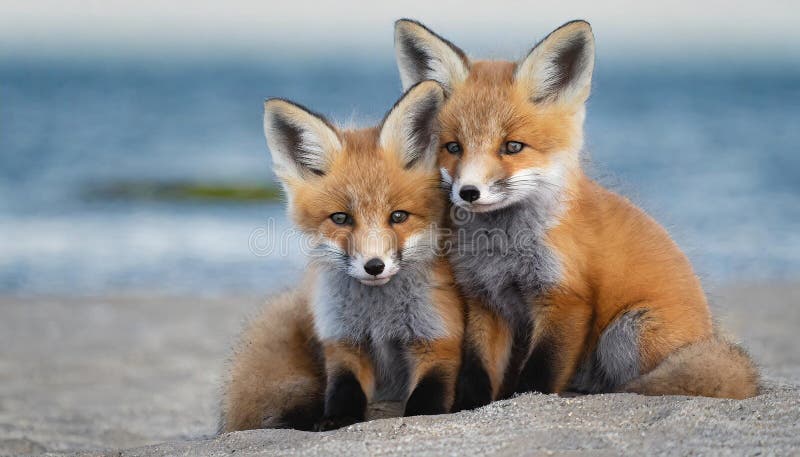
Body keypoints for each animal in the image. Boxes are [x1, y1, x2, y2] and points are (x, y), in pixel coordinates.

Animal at [219, 81, 465, 432]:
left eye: (398, 216)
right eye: (340, 218)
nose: (374, 266)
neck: (379, 317)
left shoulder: (439, 339)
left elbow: (426, 401)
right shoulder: (343, 343)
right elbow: (343, 389)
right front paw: (336, 419)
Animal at [393, 19, 759, 409]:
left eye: (512, 147)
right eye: (453, 148)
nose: (469, 192)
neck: (504, 251)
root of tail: (709, 332)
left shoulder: (566, 297)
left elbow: (539, 374)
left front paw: (524, 398)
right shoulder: (484, 300)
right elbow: (477, 371)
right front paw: (468, 406)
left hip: (626, 330)